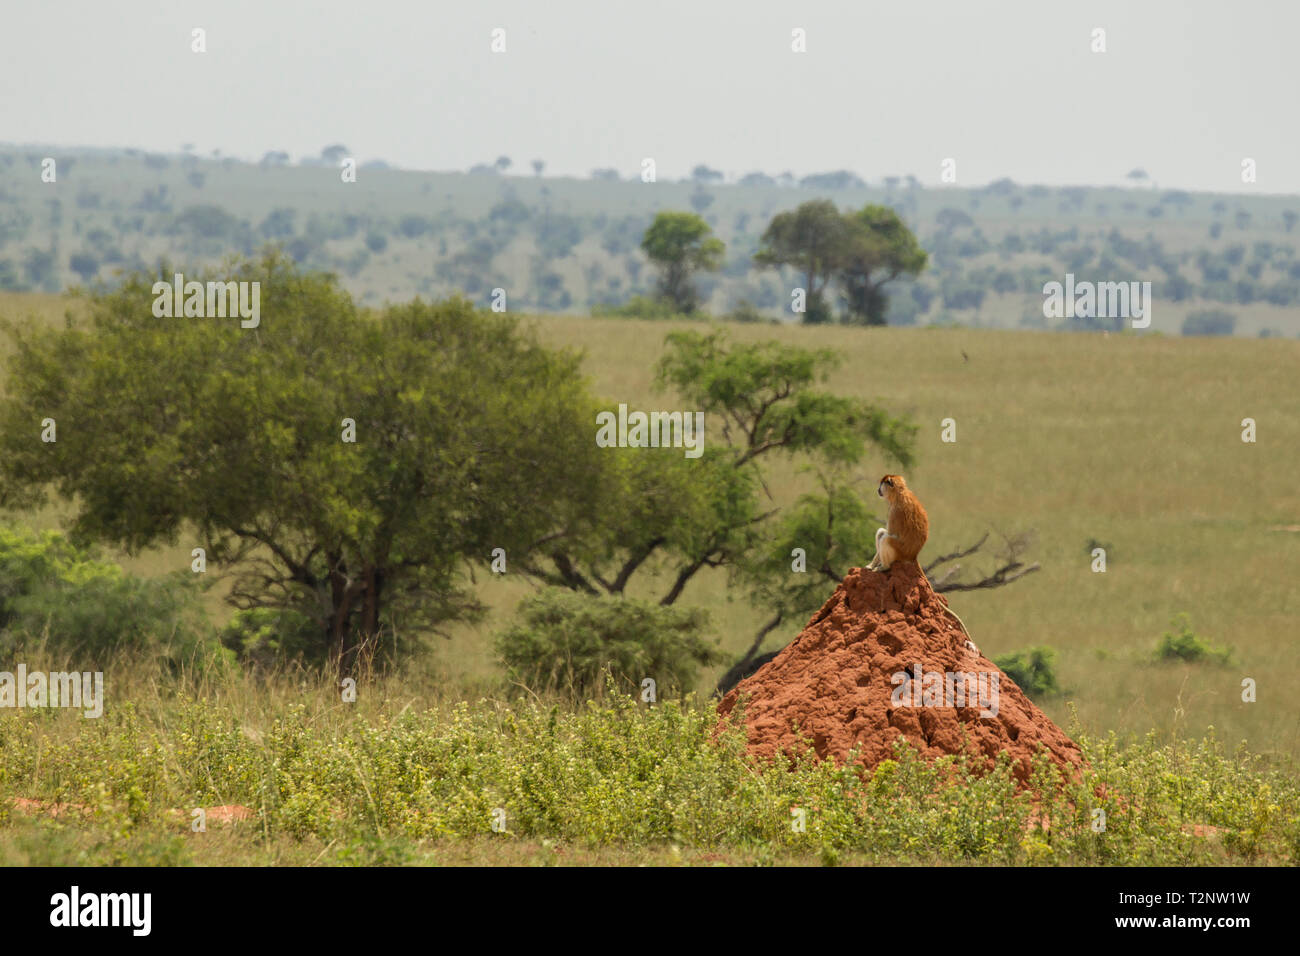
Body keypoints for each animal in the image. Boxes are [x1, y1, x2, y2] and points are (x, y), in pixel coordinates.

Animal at [867, 474, 977, 651]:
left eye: (881, 484)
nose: (878, 490)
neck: (900, 493)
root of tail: (913, 556)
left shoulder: (894, 512)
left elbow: (889, 533)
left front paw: (873, 566)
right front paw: (869, 566)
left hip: (899, 553)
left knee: (885, 537)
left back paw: (884, 567)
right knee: (882, 533)